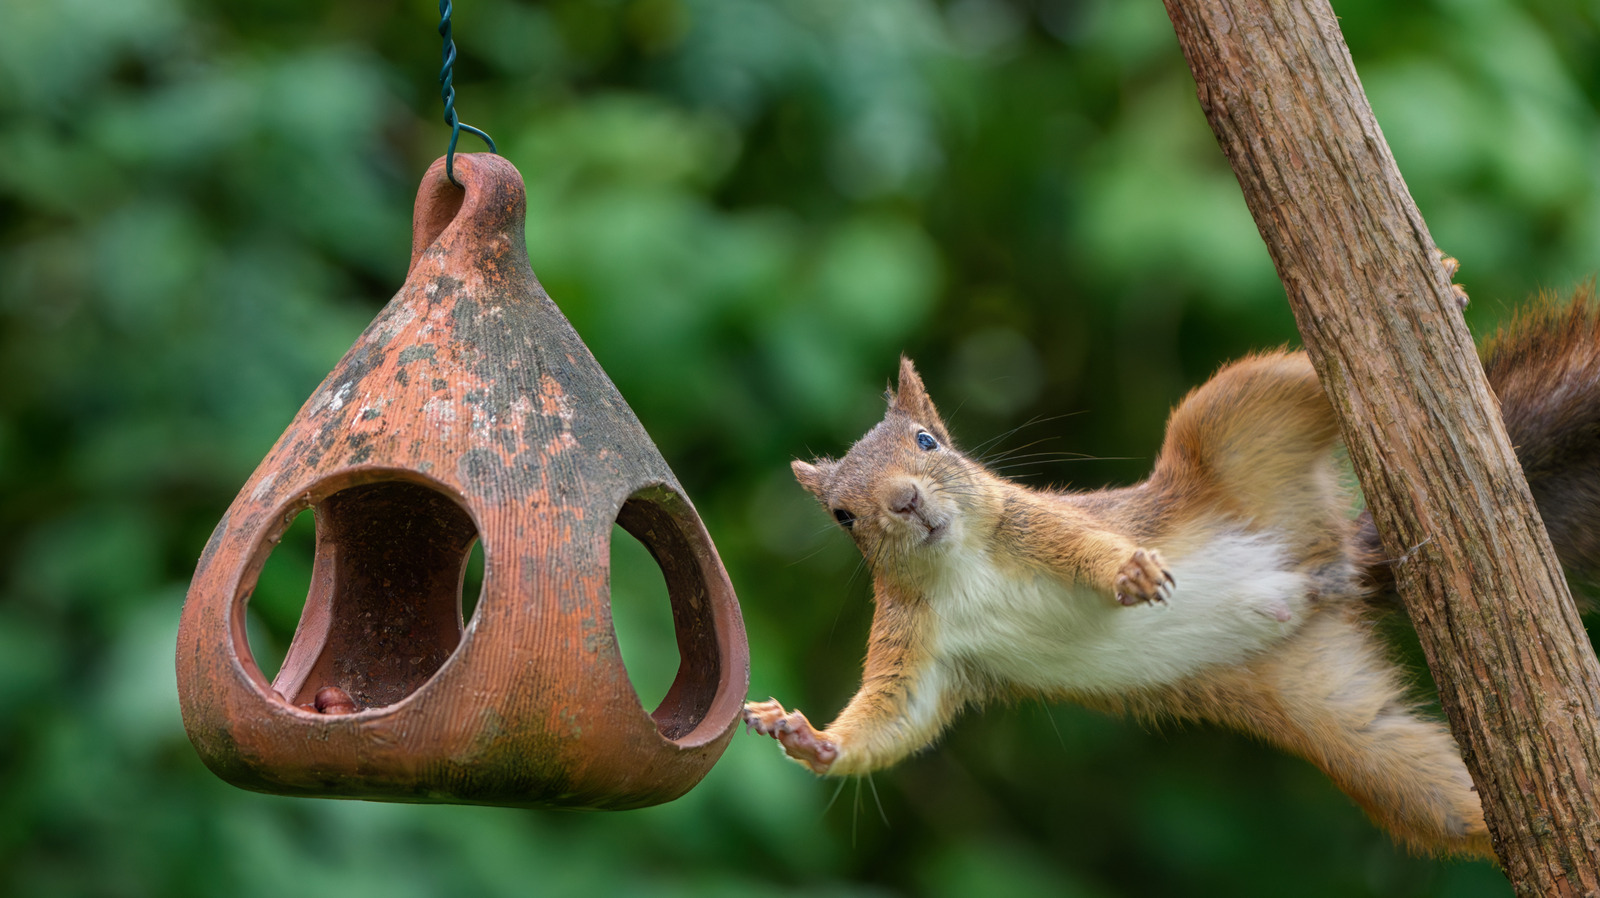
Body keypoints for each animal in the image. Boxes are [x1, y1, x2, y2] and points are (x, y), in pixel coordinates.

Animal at [743, 277, 1600, 860]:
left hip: (1232, 423)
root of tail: (1328, 570)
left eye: (927, 441)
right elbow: (896, 718)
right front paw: (807, 738)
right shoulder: (916, 646)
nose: (907, 500)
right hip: (1330, 711)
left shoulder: (1041, 523)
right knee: (1419, 785)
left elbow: (1090, 551)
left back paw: (1442, 293)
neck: (957, 567)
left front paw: (1129, 576)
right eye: (842, 515)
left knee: (1294, 385)